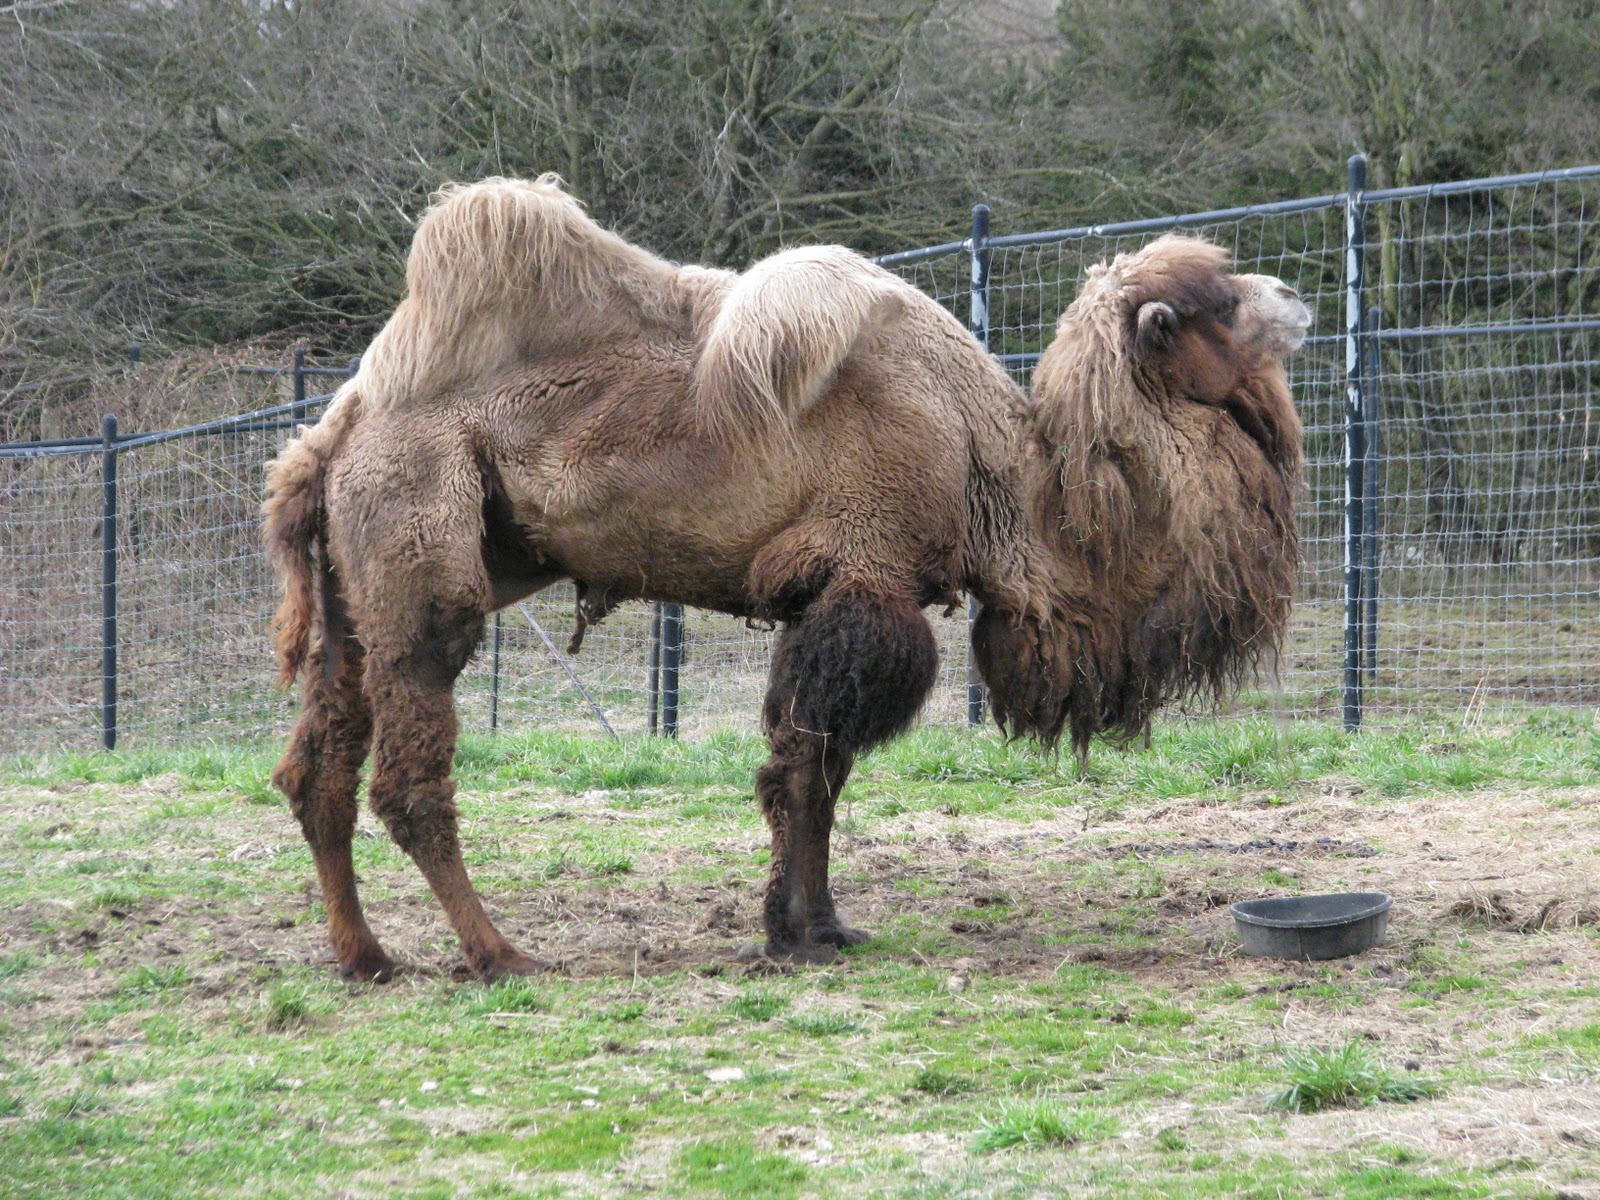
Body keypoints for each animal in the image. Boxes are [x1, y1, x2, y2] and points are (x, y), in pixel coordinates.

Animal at [263, 176, 1308, 980]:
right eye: (1219, 304)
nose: (1296, 296)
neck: (1006, 483)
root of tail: (337, 426)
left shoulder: (825, 598)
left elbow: (821, 775)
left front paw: (825, 925)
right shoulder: (865, 581)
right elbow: (803, 772)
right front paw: (789, 934)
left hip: (361, 587)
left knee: (319, 768)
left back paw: (366, 957)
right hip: (419, 551)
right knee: (410, 777)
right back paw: (499, 954)